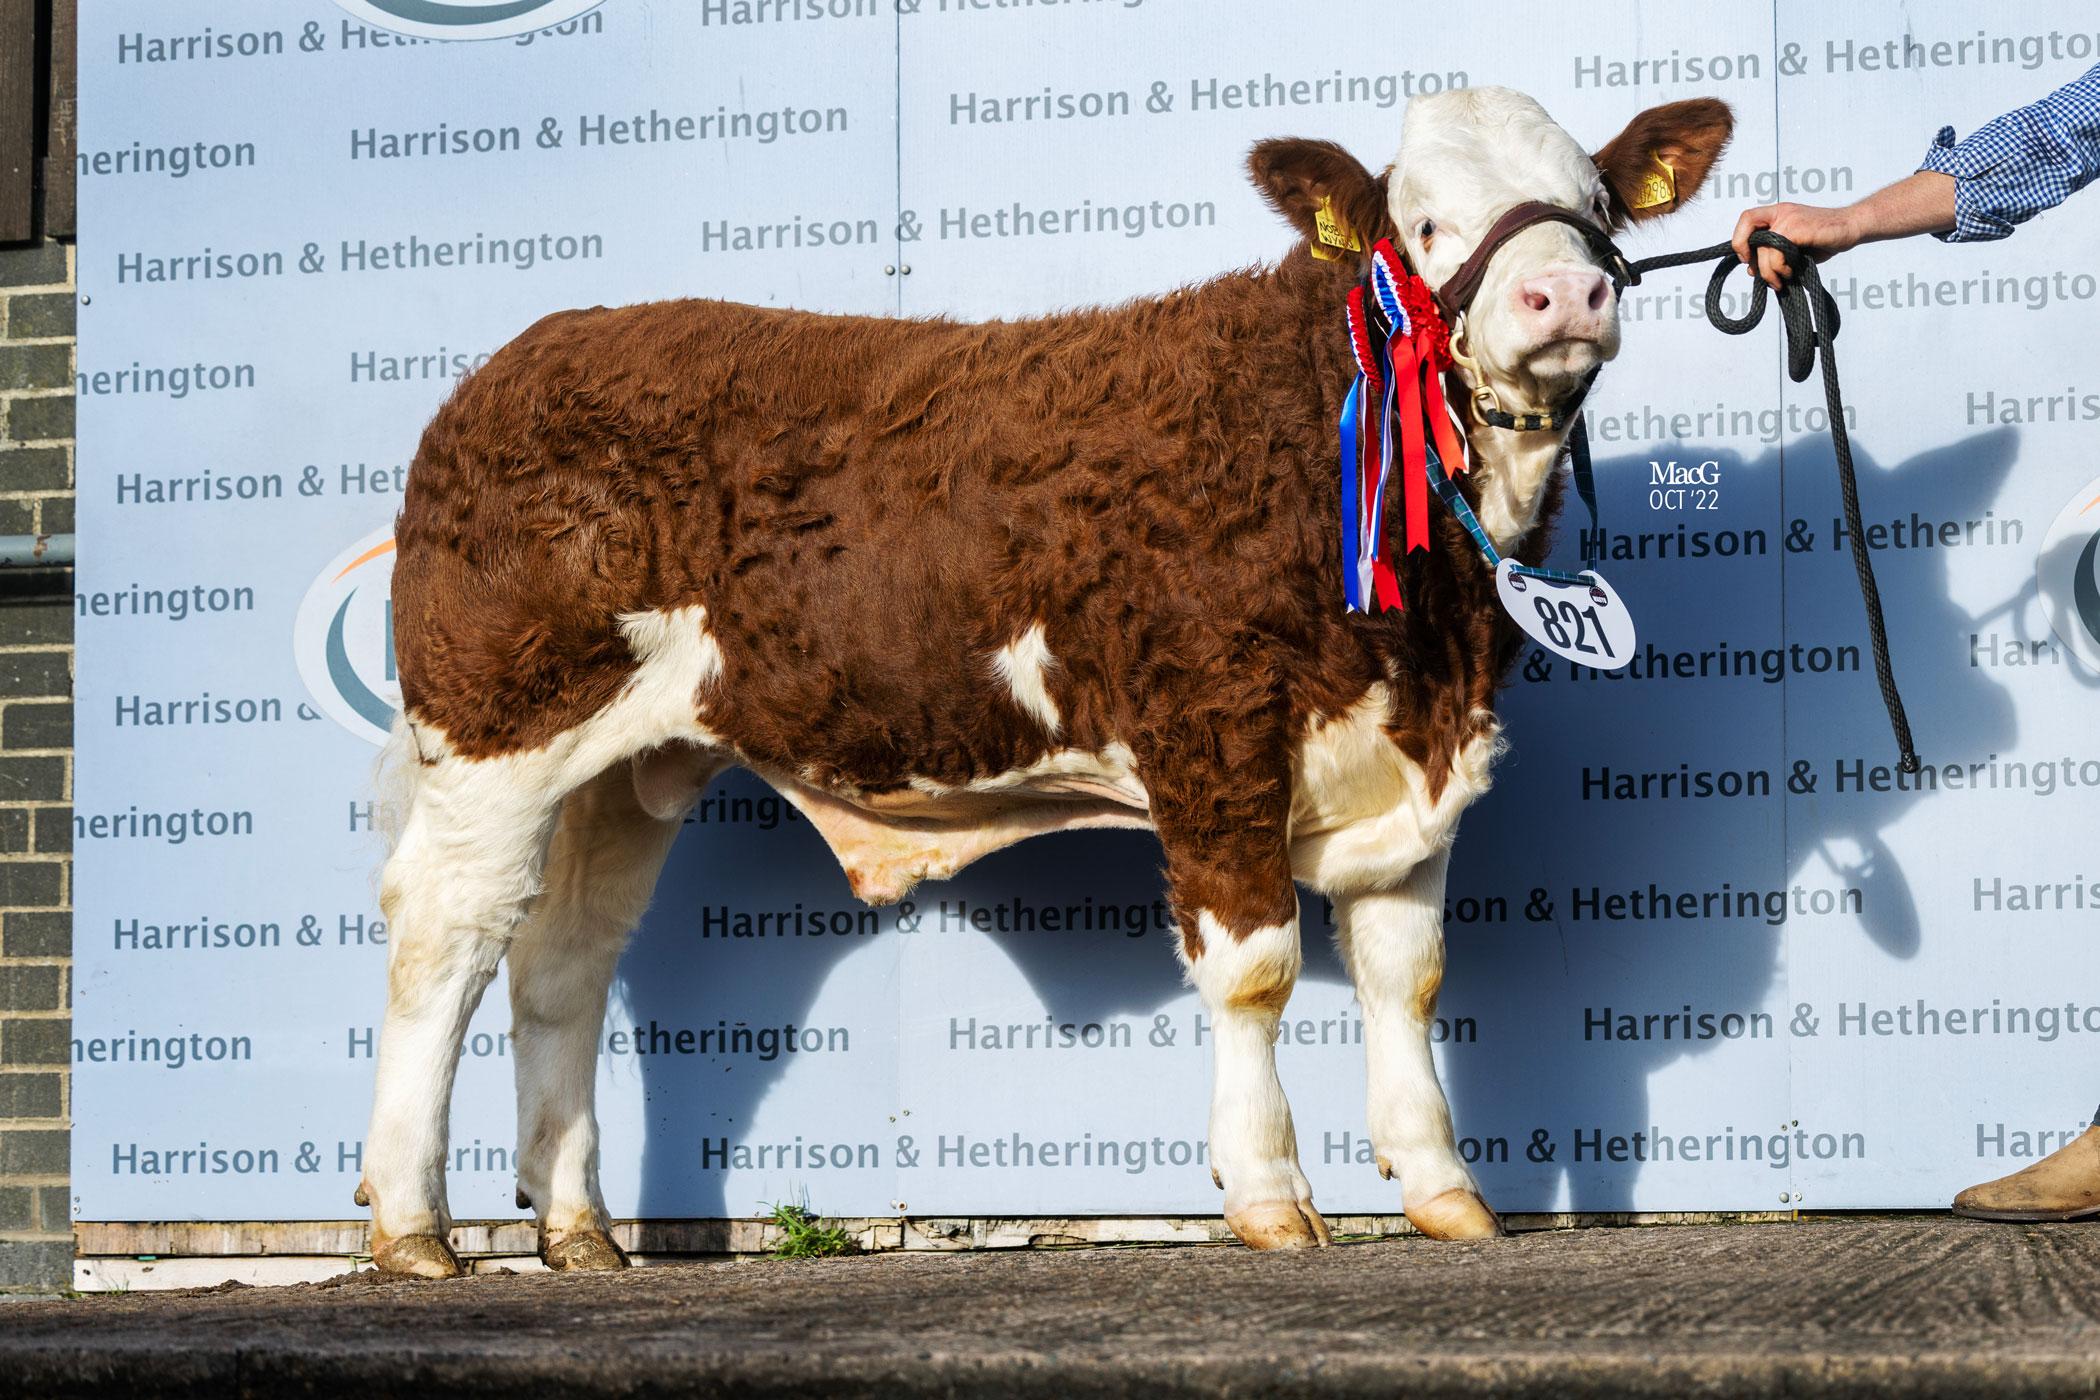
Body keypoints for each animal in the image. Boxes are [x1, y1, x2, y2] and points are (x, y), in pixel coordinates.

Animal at [356, 87, 1732, 1277]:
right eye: (1424, 223)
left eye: (1598, 206)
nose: (1566, 290)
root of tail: (531, 353)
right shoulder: (1211, 727)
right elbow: (1258, 966)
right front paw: (1269, 1197)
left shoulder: (1416, 753)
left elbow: (1409, 973)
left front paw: (1447, 1189)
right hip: (500, 725)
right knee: (444, 938)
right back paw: (414, 1227)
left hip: (627, 763)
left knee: (564, 959)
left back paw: (577, 1228)